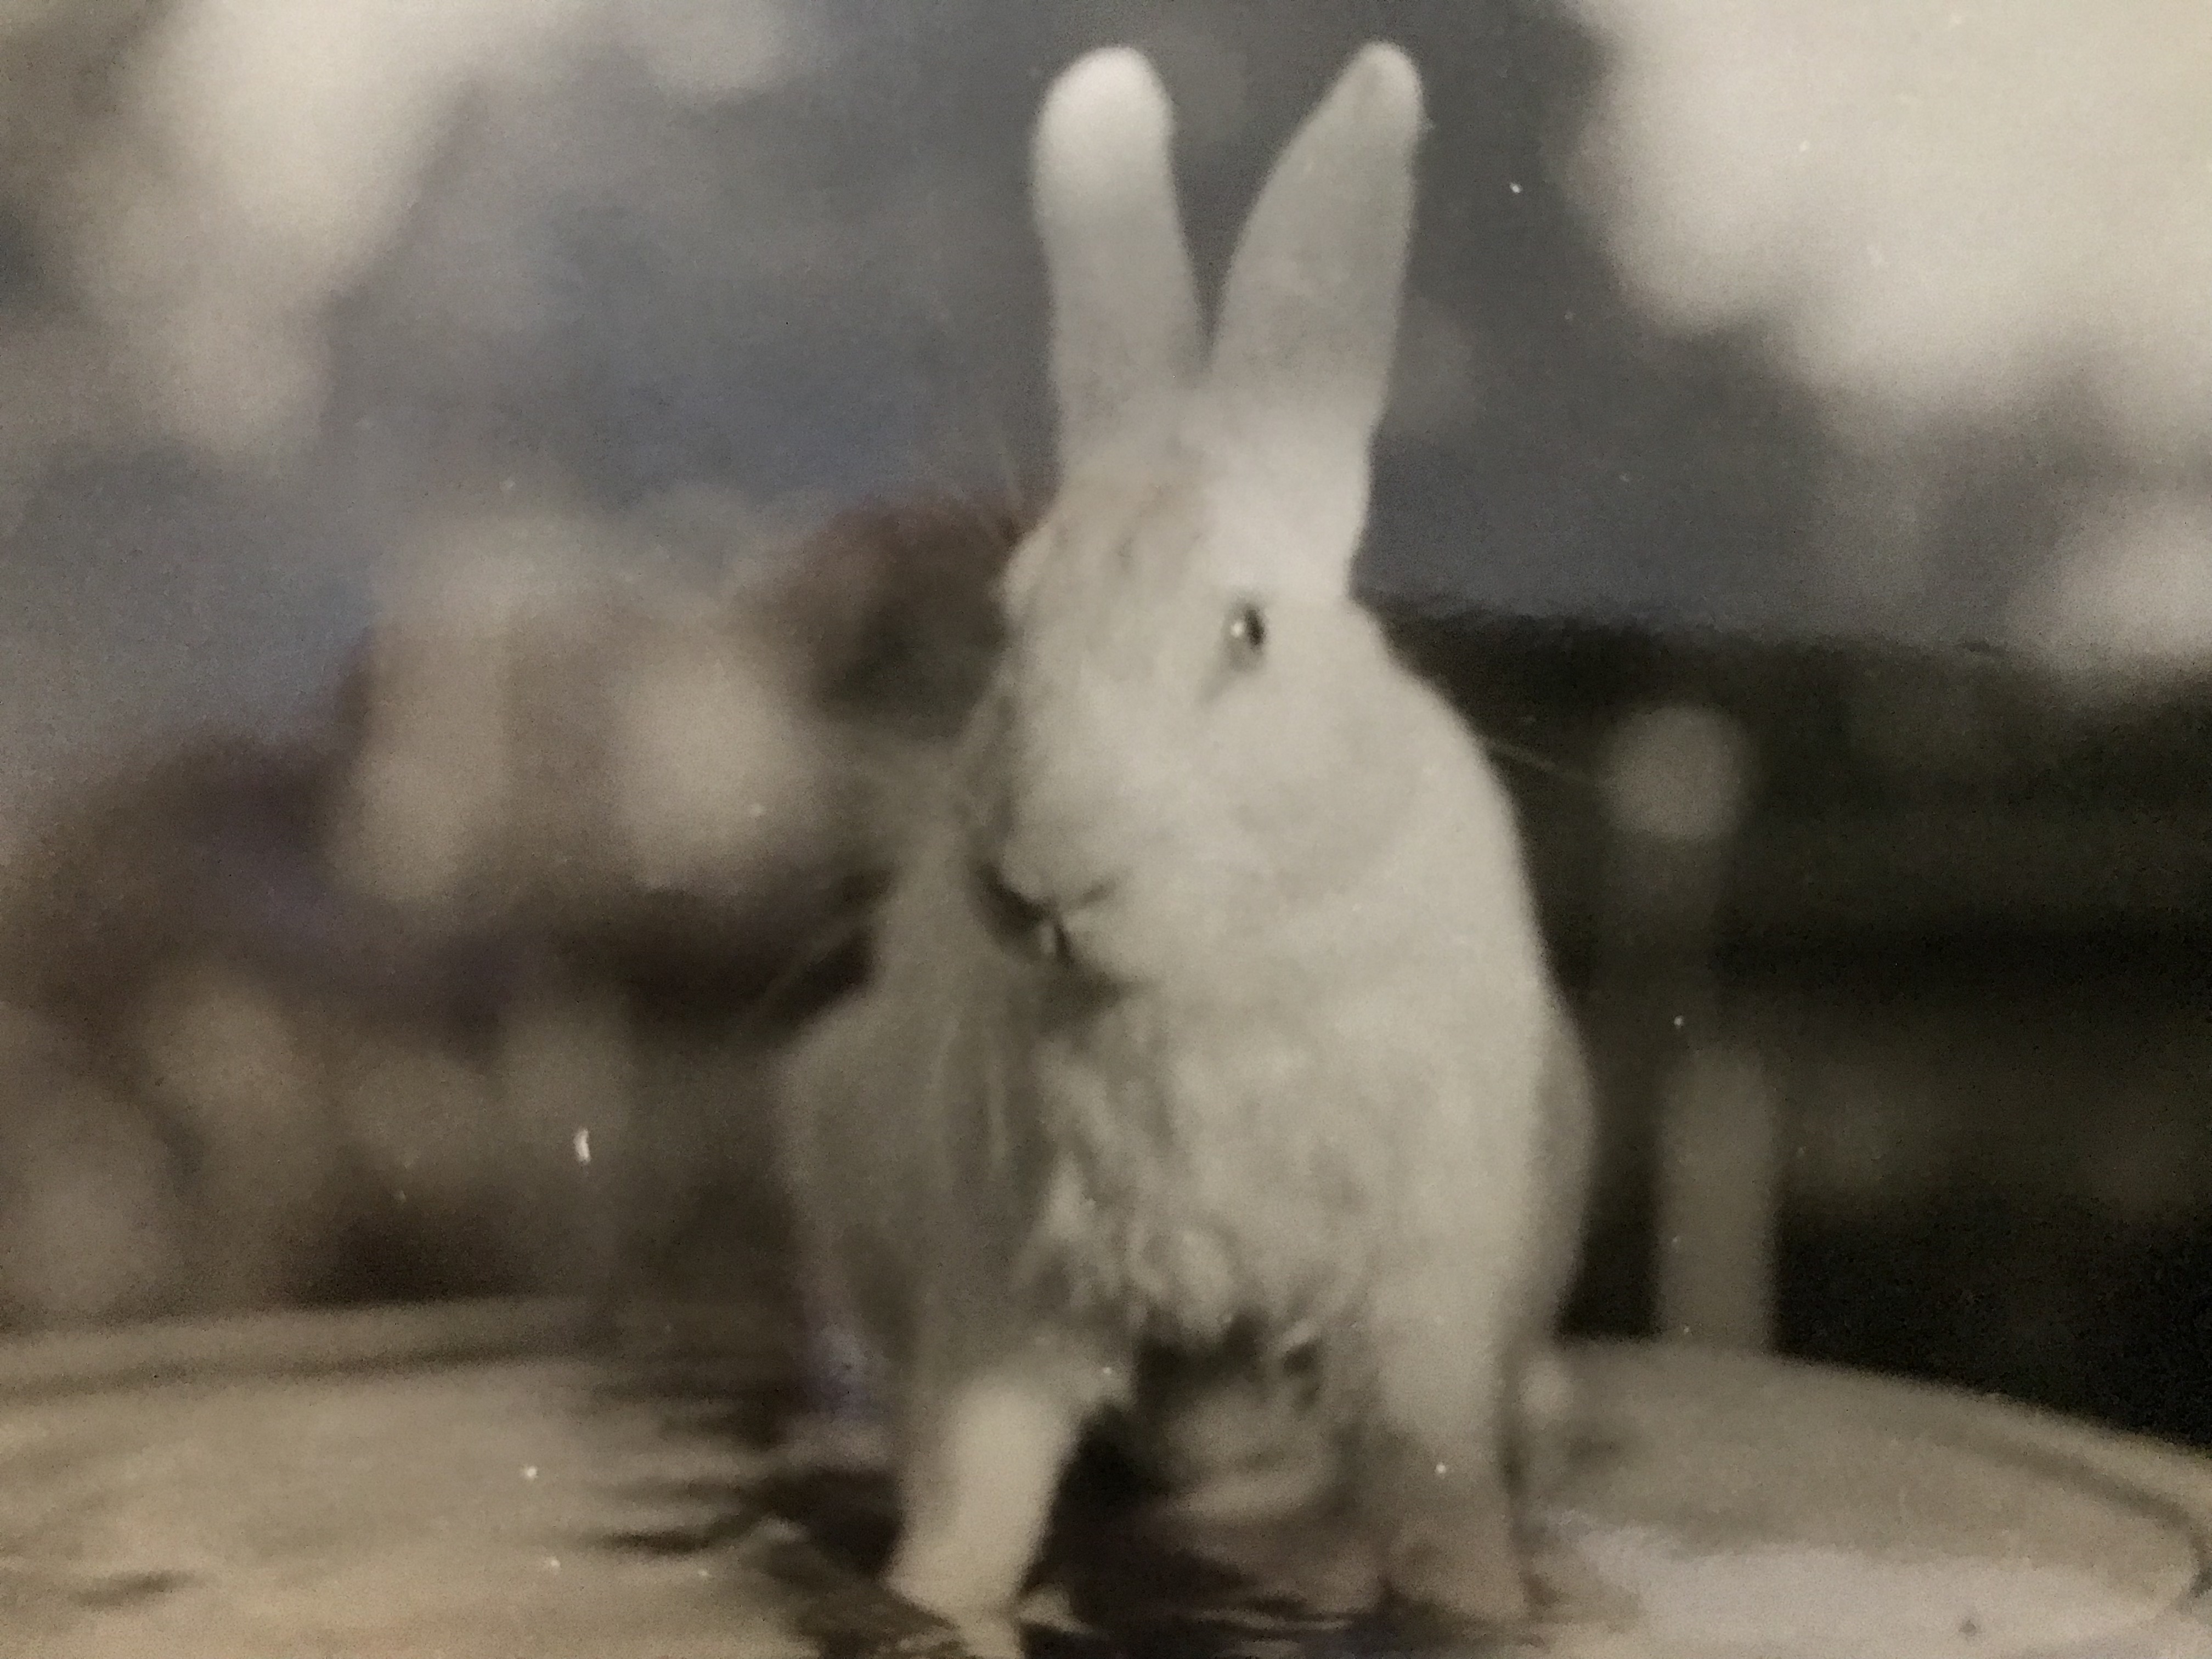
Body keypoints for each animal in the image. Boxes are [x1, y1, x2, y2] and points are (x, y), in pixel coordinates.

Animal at [775, 38, 1594, 1650]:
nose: (1039, 878)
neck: (1198, 979)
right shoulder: (1007, 1292)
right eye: (1010, 622)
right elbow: (980, 1474)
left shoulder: (1423, 1289)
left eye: (1246, 635)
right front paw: (926, 1599)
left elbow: (1434, 1467)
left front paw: (1480, 1600)